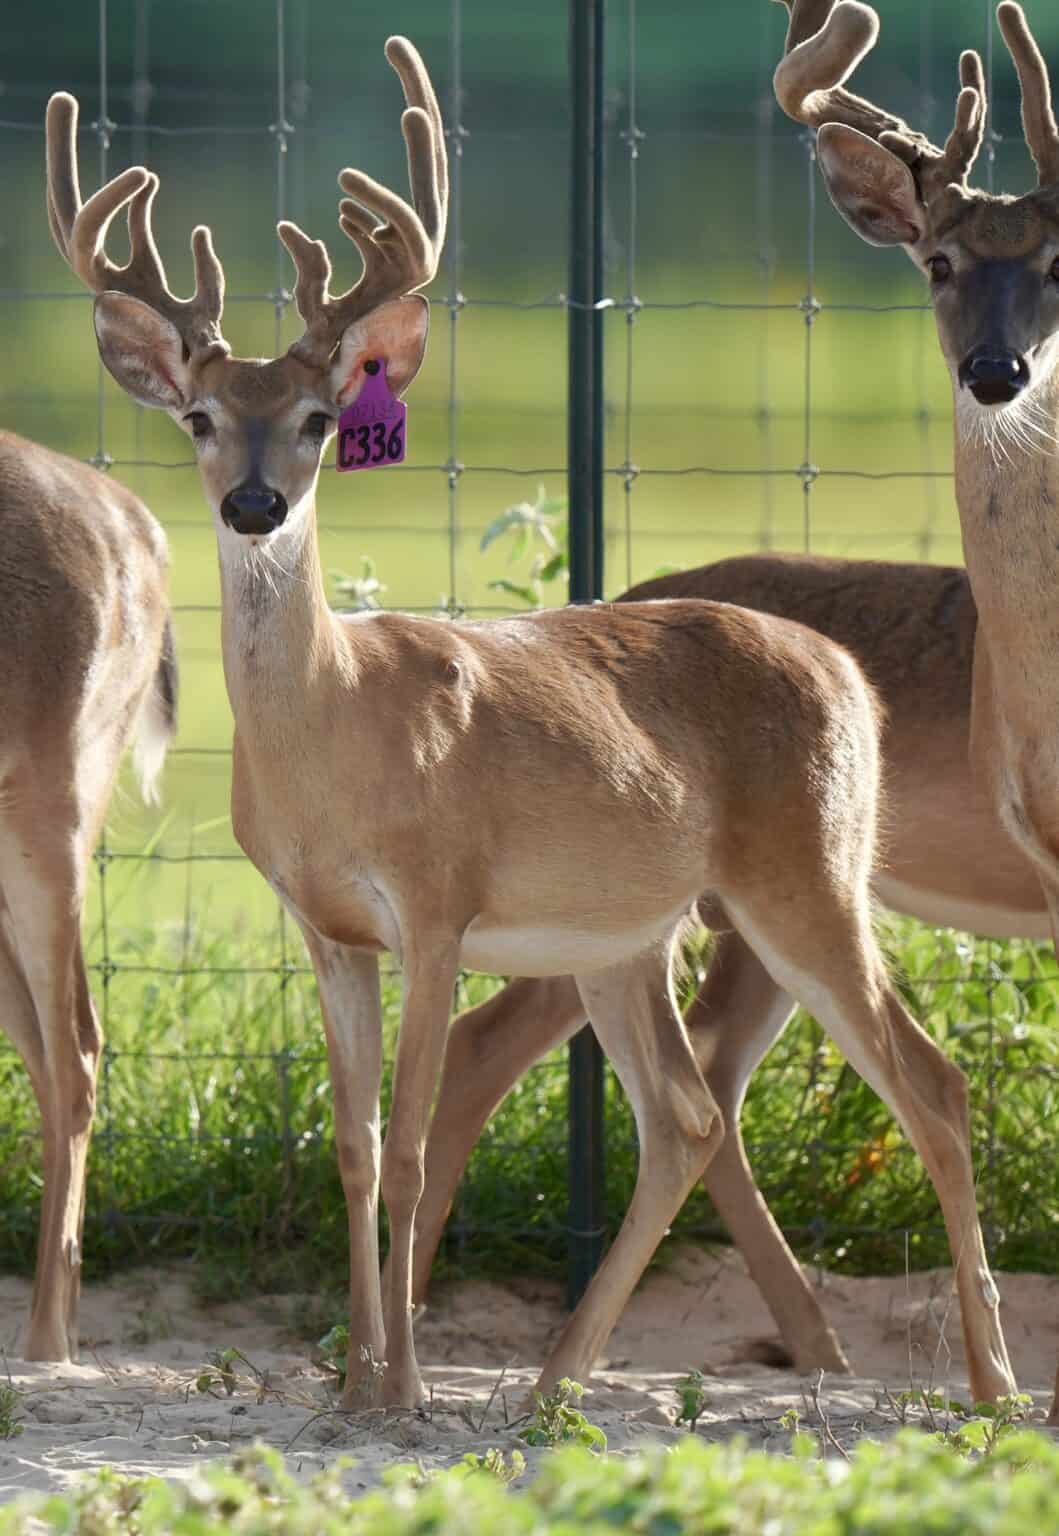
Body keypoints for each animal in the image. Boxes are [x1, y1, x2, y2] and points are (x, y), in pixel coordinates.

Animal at [45, 36, 1017, 1412]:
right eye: (197, 417)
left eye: (317, 420)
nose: (252, 504)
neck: (333, 740)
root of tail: (843, 673)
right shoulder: (326, 929)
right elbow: (353, 1148)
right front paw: (351, 1381)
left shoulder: (438, 902)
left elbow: (410, 1146)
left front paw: (400, 1388)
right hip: (628, 933)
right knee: (687, 1115)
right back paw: (555, 1379)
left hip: (807, 877)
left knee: (929, 1083)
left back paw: (993, 1386)